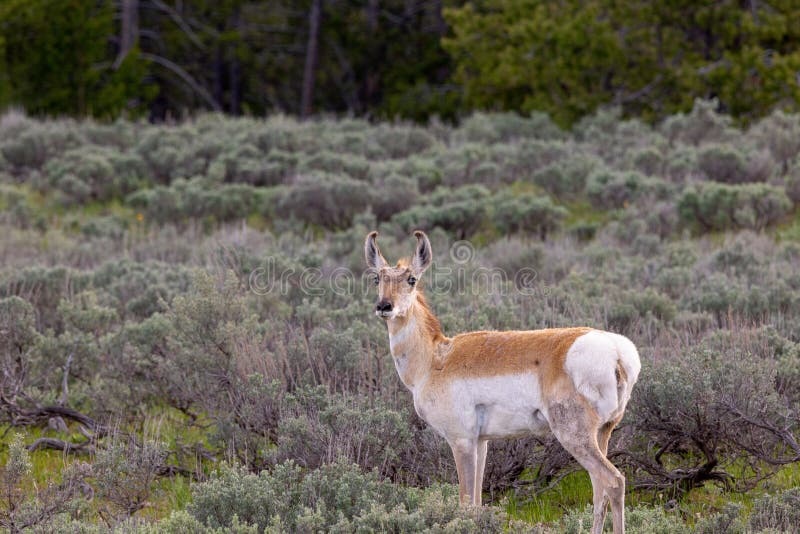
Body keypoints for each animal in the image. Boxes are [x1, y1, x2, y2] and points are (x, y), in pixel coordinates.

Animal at [365, 230, 641, 534]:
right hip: (602, 434)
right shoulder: (481, 442)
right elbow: (476, 502)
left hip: (574, 435)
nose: (384, 306)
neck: (436, 358)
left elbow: (465, 502)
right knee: (599, 489)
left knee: (613, 481)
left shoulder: (461, 441)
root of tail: (616, 352)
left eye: (411, 279)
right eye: (377, 278)